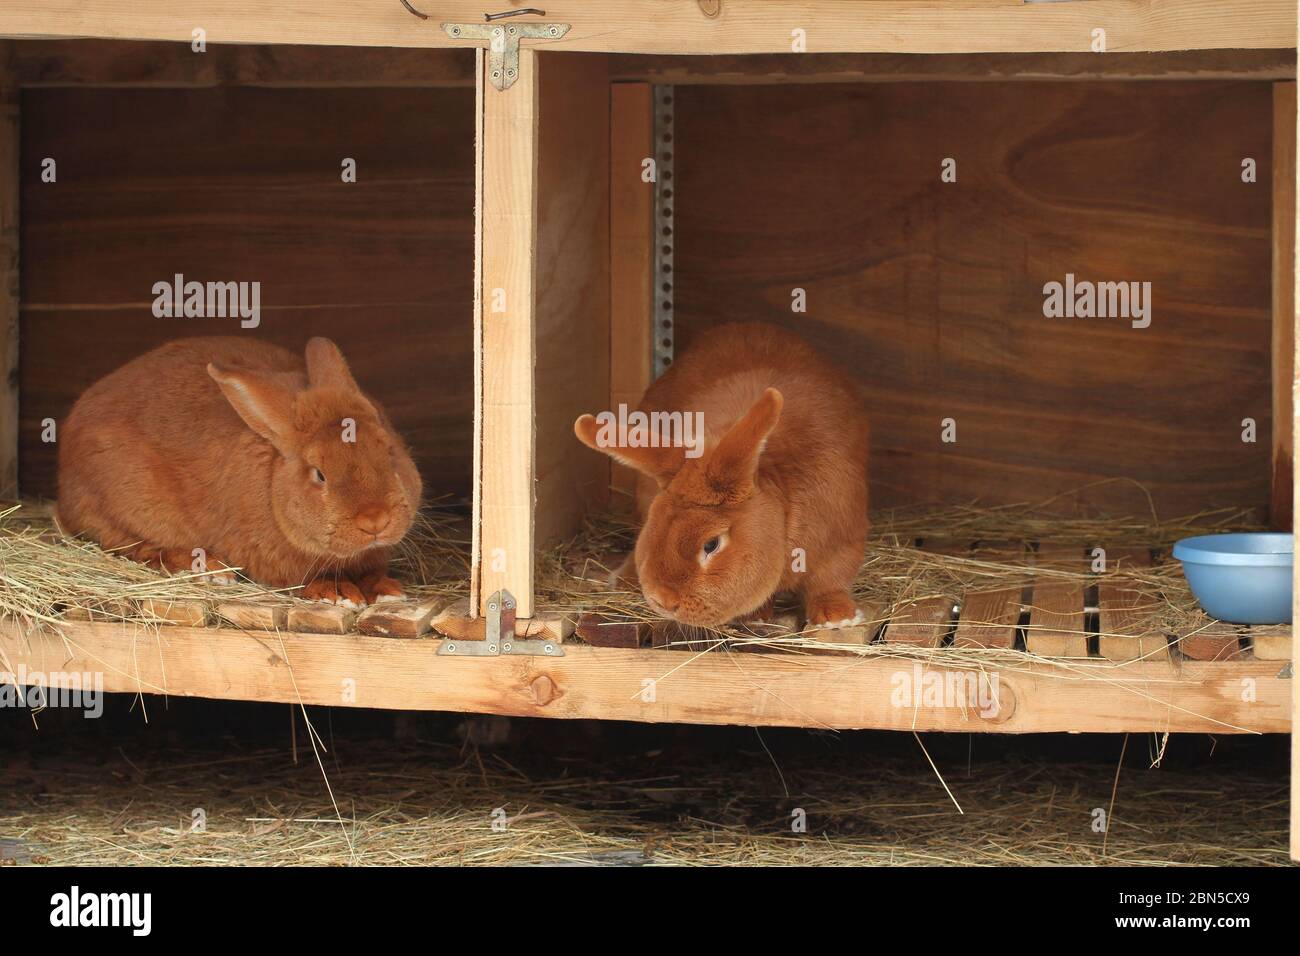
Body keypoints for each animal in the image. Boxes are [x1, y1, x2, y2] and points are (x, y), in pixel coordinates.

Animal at [56, 336, 423, 607]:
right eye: (319, 474)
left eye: (389, 451)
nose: (375, 520)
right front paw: (337, 593)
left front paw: (387, 590)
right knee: (138, 548)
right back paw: (210, 568)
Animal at [574, 321, 869, 630]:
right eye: (656, 523)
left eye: (711, 544)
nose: (663, 600)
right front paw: (756, 616)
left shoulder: (843, 539)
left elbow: (829, 581)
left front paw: (837, 618)